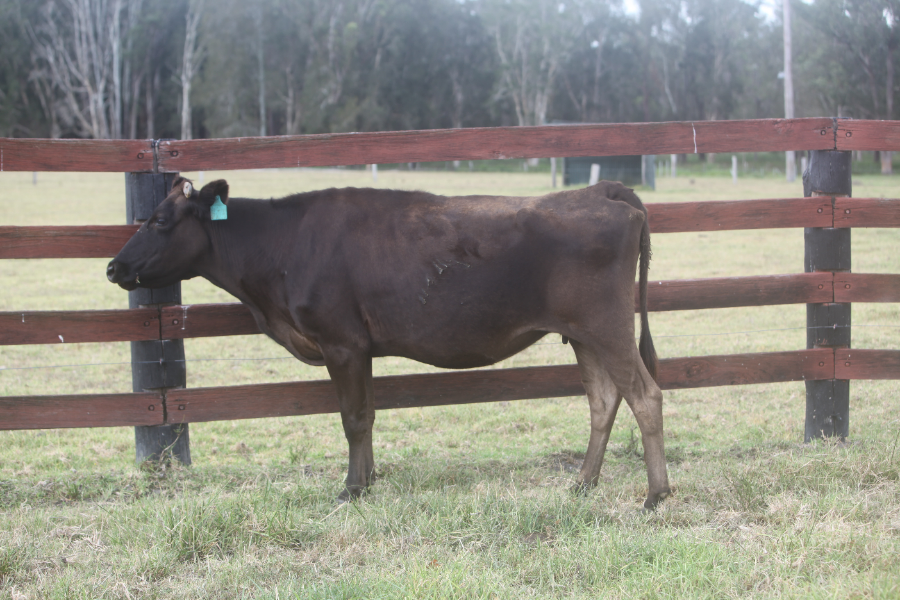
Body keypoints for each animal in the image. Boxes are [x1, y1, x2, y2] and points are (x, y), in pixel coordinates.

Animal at [107, 177, 671, 509]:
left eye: (159, 220)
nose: (114, 266)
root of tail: (600, 190)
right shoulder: (359, 348)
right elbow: (370, 415)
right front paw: (371, 478)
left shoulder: (341, 342)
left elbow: (354, 418)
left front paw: (352, 489)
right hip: (583, 334)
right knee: (604, 399)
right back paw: (582, 483)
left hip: (607, 325)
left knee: (645, 395)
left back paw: (656, 494)